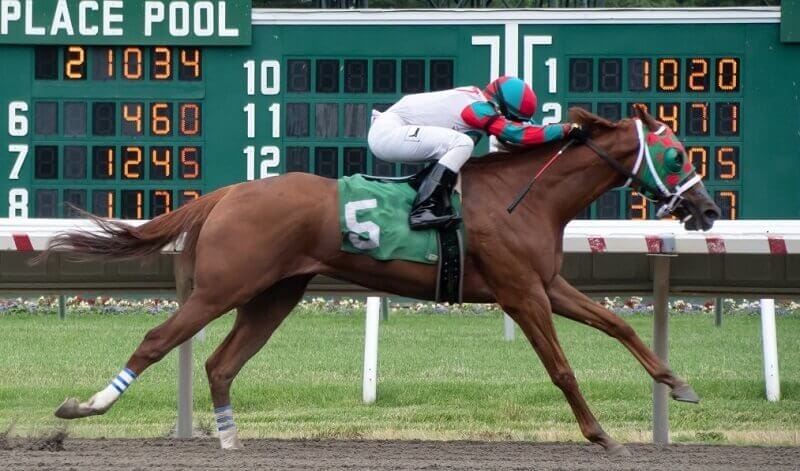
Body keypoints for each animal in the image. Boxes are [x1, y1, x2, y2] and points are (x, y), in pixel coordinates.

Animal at [46, 105, 720, 456]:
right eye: (680, 156)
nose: (708, 210)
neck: (522, 195)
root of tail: (229, 192)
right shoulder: (521, 293)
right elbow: (561, 368)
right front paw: (602, 434)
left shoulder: (546, 285)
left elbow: (617, 323)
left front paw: (678, 383)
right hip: (222, 288)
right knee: (158, 341)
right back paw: (83, 407)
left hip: (274, 295)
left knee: (220, 363)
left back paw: (231, 440)